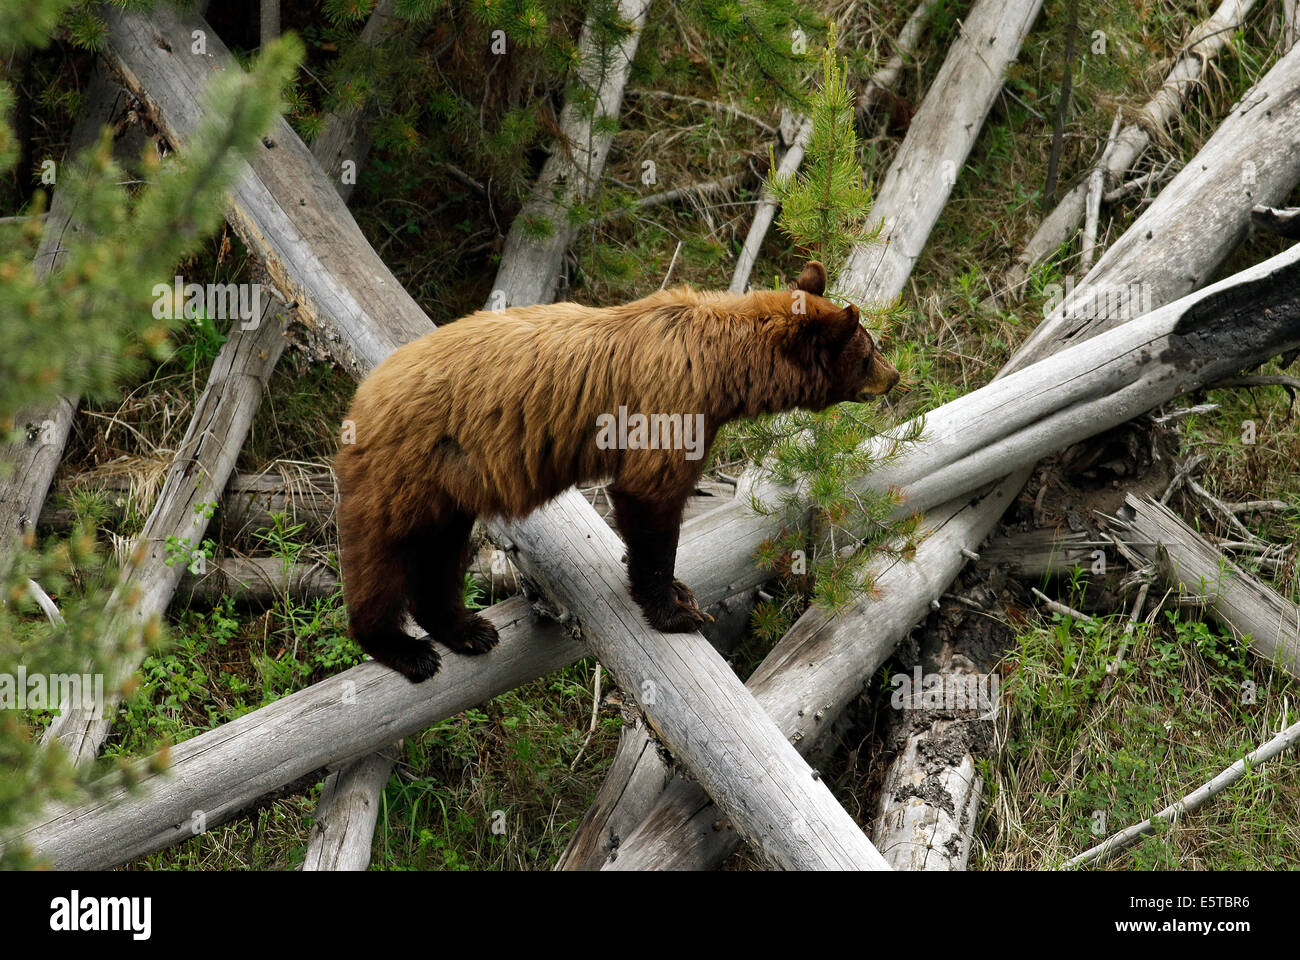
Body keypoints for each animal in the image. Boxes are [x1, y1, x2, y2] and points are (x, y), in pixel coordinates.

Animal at [335, 261, 899, 682]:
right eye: (870, 351)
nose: (895, 377)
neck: (723, 365)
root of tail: (363, 395)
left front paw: (678, 593)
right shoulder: (671, 405)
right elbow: (651, 499)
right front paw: (675, 608)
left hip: (447, 487)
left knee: (438, 552)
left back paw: (465, 629)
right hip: (406, 467)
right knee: (379, 555)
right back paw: (402, 647)